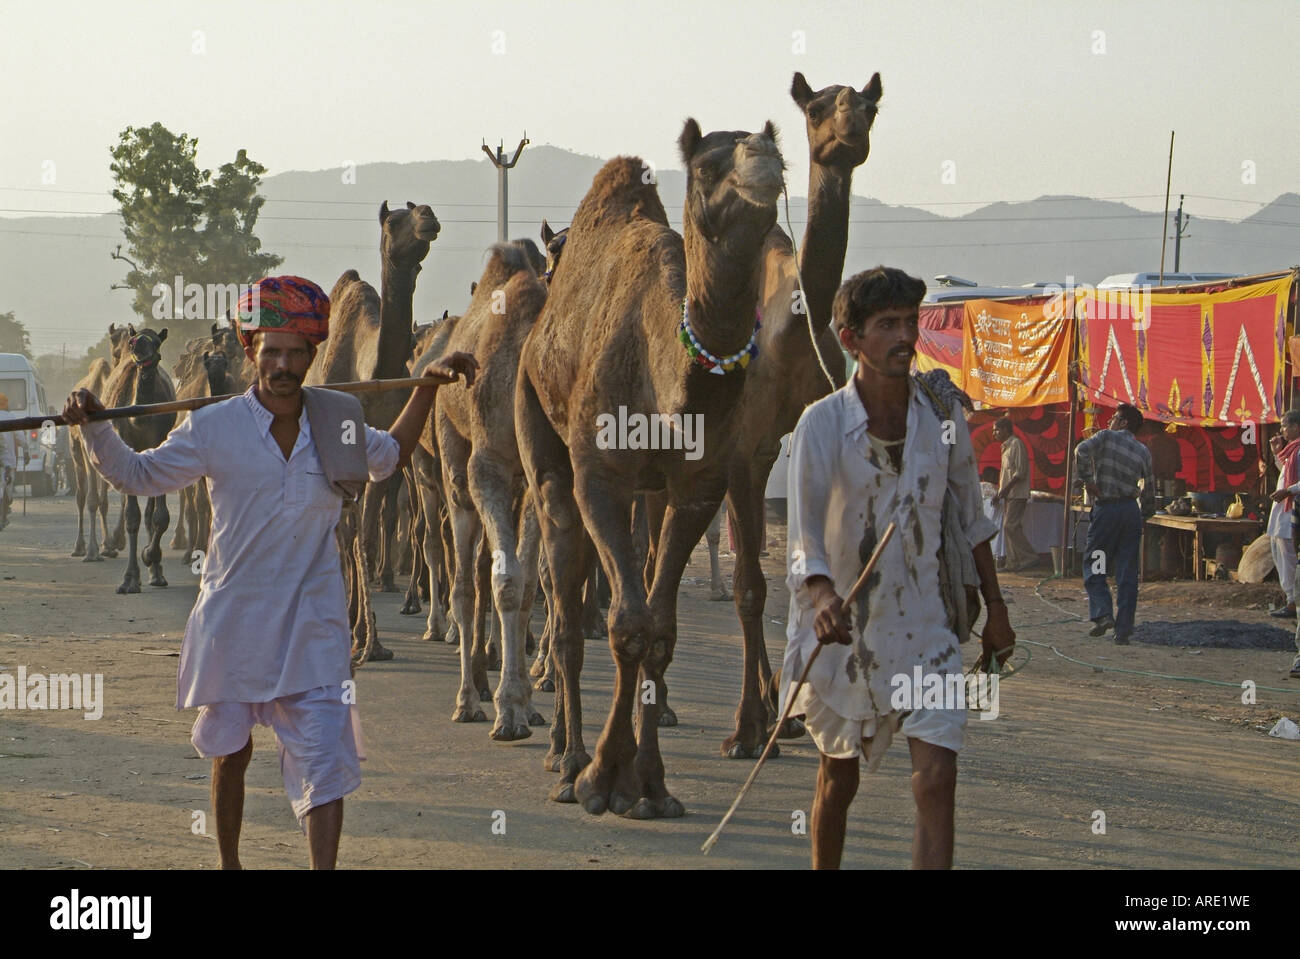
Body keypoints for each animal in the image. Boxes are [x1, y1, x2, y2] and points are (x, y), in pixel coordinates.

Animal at [99, 327, 177, 593]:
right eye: (133, 342)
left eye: (157, 342)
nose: (141, 346)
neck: (140, 420)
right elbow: (132, 517)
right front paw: (130, 579)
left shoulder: (160, 444)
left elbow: (160, 517)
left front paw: (150, 556)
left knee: (151, 512)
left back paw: (156, 573)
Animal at [305, 200, 440, 662]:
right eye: (394, 220)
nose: (429, 216)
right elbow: (352, 535)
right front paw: (363, 638)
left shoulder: (382, 457)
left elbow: (366, 533)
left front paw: (372, 640)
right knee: (340, 533)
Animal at [515, 119, 785, 817]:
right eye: (708, 165)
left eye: (780, 155)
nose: (763, 164)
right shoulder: (601, 477)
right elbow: (626, 624)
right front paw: (603, 778)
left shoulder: (697, 485)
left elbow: (659, 629)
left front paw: (651, 785)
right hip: (540, 433)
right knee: (563, 600)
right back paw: (565, 756)